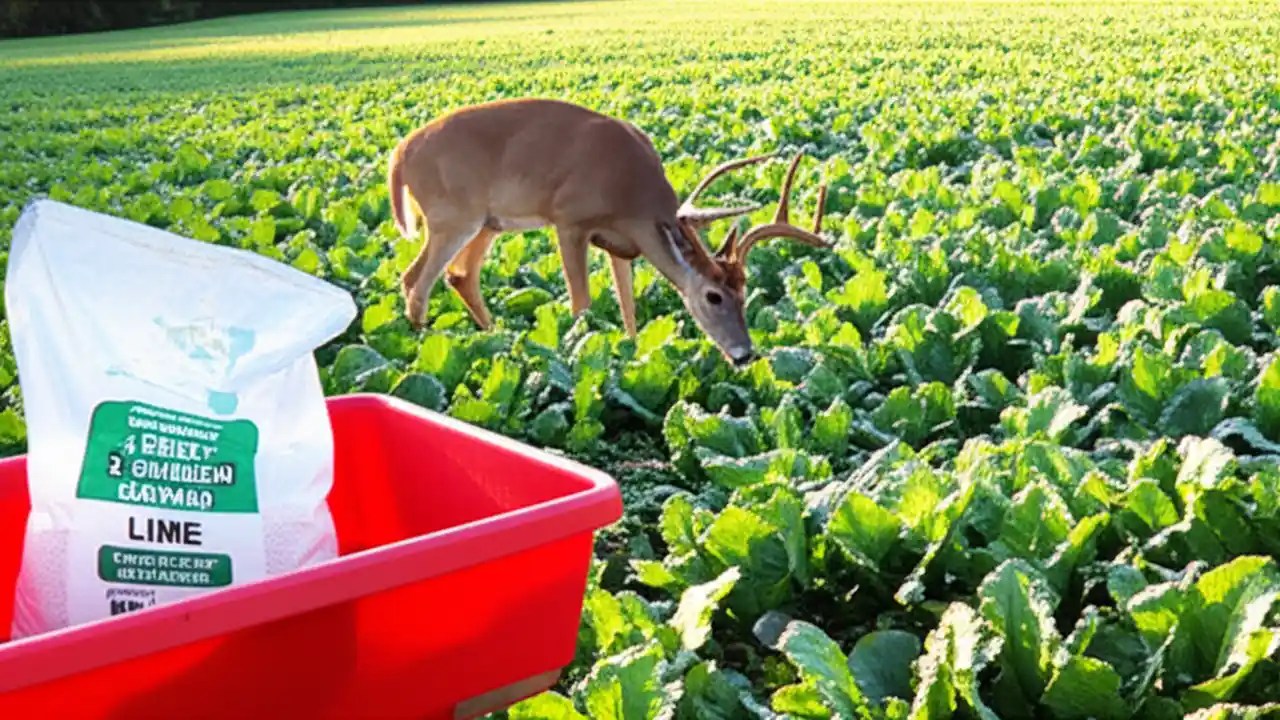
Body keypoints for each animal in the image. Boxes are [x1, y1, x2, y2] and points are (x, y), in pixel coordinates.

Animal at [386, 97, 831, 367]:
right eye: (713, 296)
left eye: (744, 292)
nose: (745, 355)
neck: (631, 191)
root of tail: (400, 154)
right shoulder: (569, 220)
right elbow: (581, 304)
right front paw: (580, 355)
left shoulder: (622, 243)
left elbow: (629, 310)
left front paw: (630, 356)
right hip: (453, 216)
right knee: (415, 280)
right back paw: (421, 348)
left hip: (488, 223)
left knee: (460, 274)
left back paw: (497, 340)